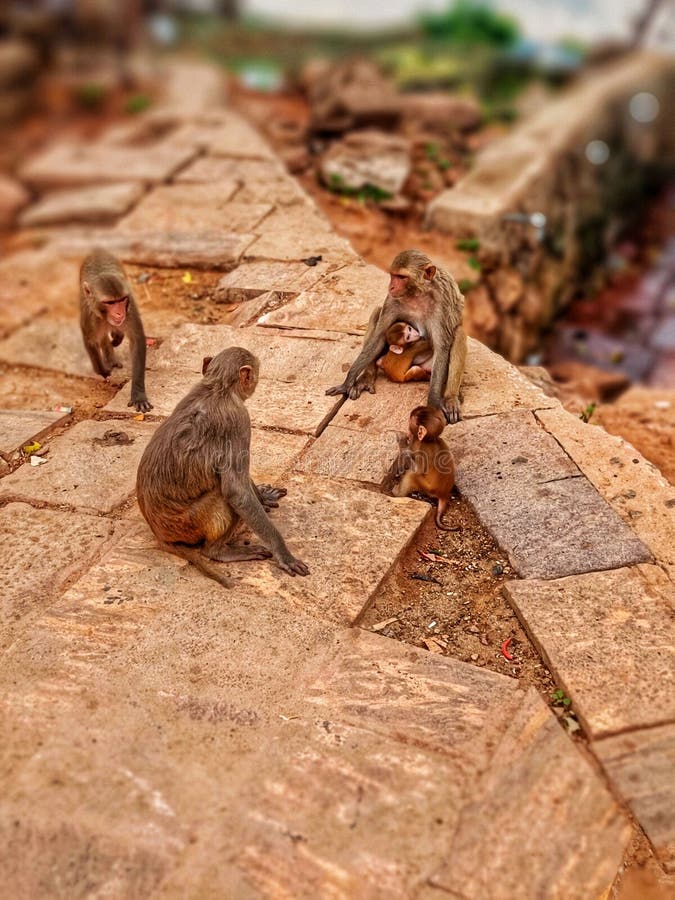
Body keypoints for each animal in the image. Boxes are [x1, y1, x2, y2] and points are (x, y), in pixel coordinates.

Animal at [80, 247, 152, 413]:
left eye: (121, 300)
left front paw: (138, 395)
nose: (120, 313)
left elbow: (137, 340)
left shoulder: (130, 310)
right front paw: (102, 370)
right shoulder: (89, 316)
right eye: (110, 302)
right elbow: (90, 341)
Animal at [136, 346, 309, 588]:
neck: (218, 387)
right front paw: (283, 553)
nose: (254, 381)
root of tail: (159, 533)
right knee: (222, 496)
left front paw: (263, 497)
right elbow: (237, 492)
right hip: (189, 524)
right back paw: (217, 551)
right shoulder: (240, 420)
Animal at [326, 249, 467, 423]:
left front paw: (434, 402)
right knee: (377, 312)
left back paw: (450, 398)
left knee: (459, 332)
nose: (391, 286)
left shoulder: (442, 304)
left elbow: (442, 348)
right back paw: (367, 376)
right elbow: (379, 338)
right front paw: (347, 382)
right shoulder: (393, 300)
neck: (417, 294)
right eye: (393, 275)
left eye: (401, 277)